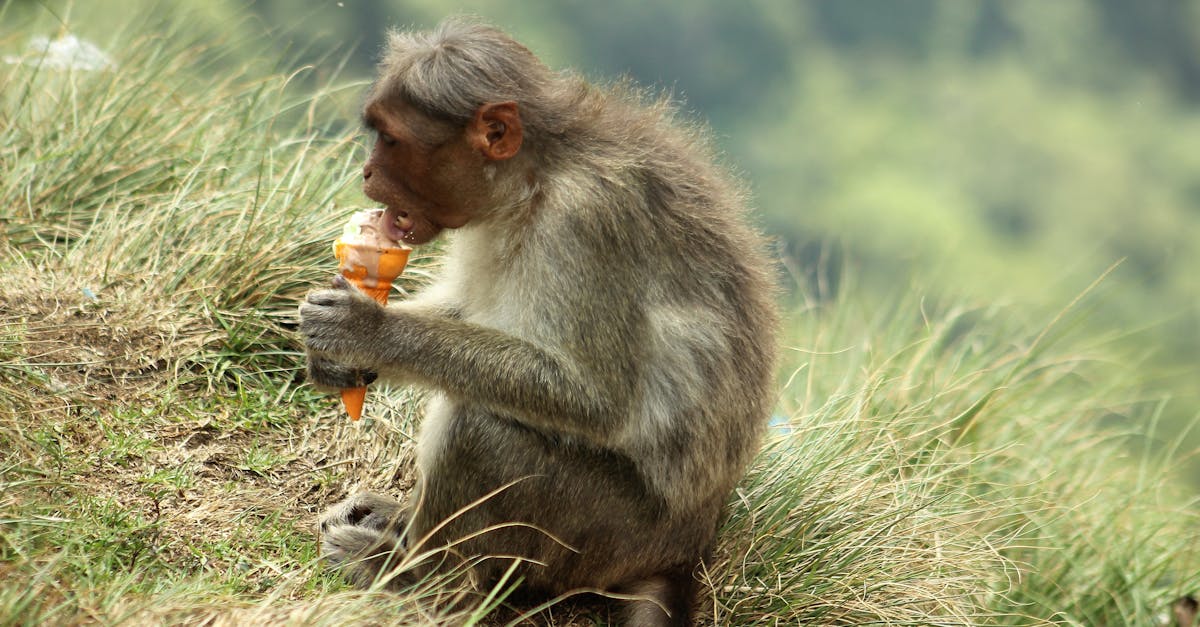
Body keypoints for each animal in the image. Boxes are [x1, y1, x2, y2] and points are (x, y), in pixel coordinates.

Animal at [302, 17, 777, 619]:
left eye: (390, 139)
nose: (366, 172)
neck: (532, 181)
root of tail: (686, 549)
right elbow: (466, 309)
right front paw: (337, 360)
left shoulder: (588, 219)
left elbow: (591, 397)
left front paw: (367, 331)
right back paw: (400, 528)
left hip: (604, 532)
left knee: (477, 431)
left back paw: (416, 581)